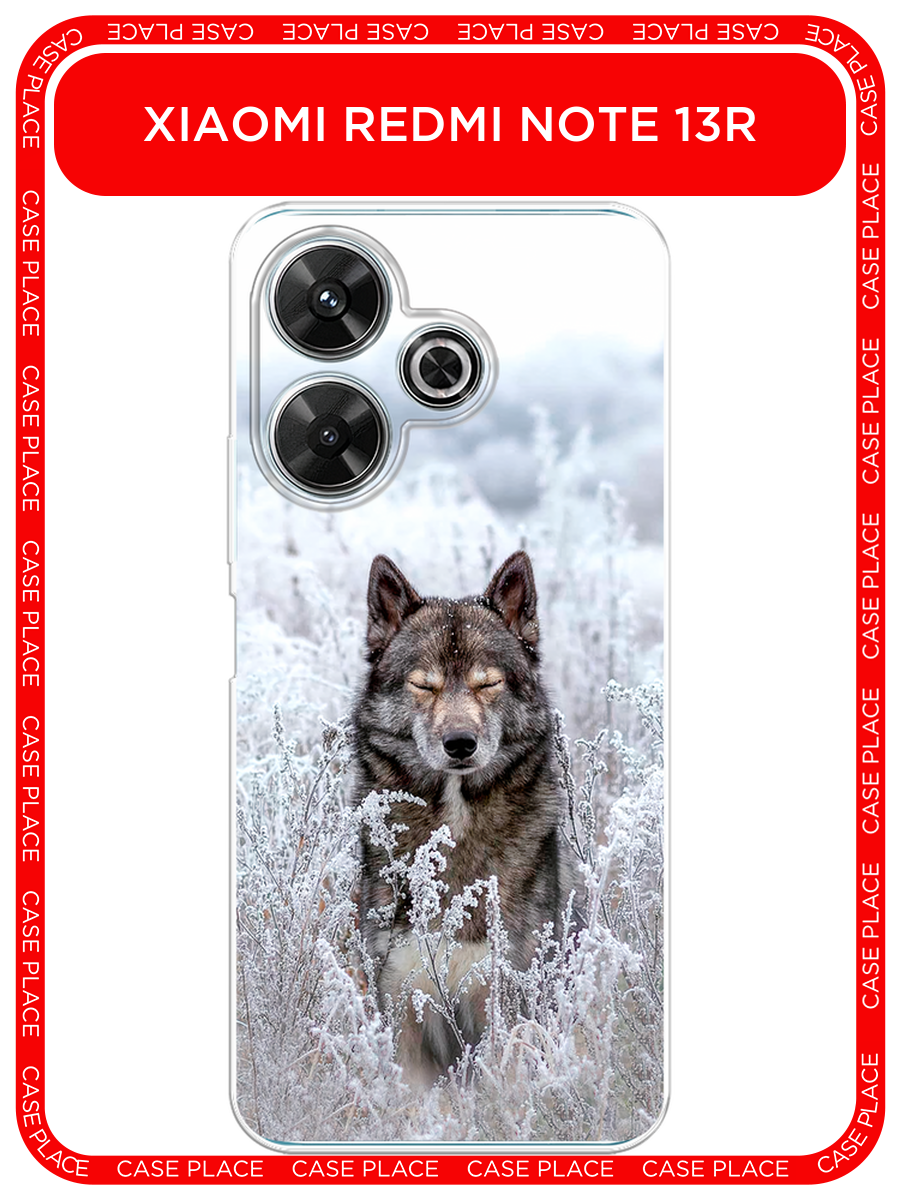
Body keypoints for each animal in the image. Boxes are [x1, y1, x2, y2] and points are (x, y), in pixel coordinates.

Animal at [352, 549, 578, 1083]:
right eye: (424, 685)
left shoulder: (504, 1005)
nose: (460, 743)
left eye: (488, 682)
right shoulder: (403, 1011)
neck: (455, 827)